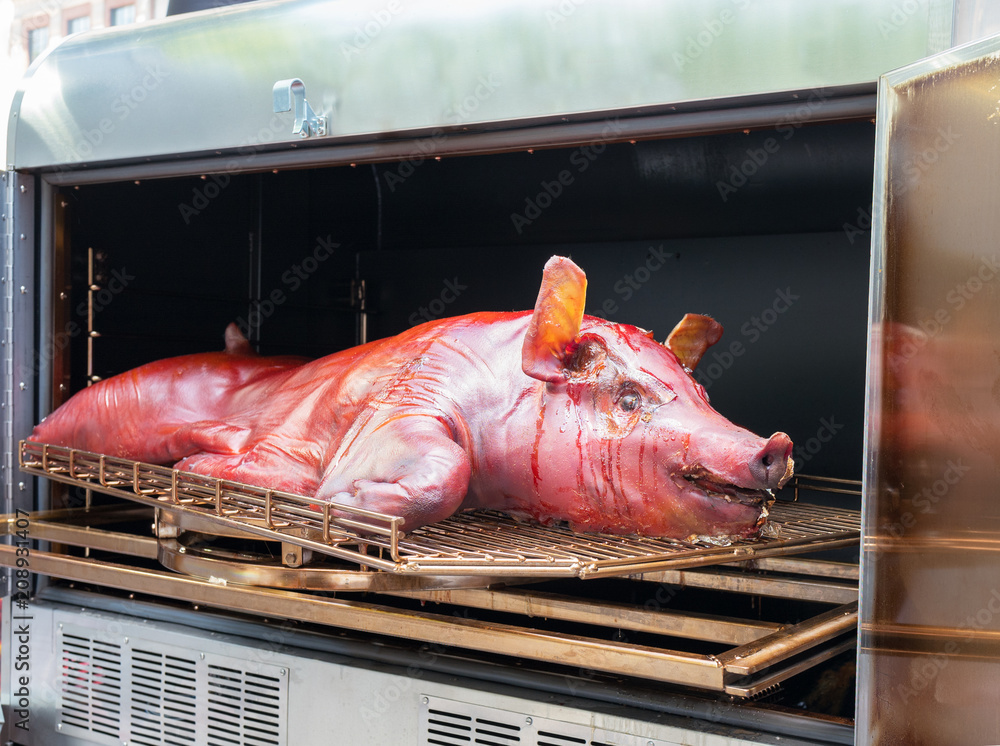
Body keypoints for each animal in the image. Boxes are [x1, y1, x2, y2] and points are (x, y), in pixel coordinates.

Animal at [30, 256, 793, 539]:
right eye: (629, 397)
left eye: (700, 391)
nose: (773, 444)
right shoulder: (406, 402)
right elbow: (445, 465)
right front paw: (346, 500)